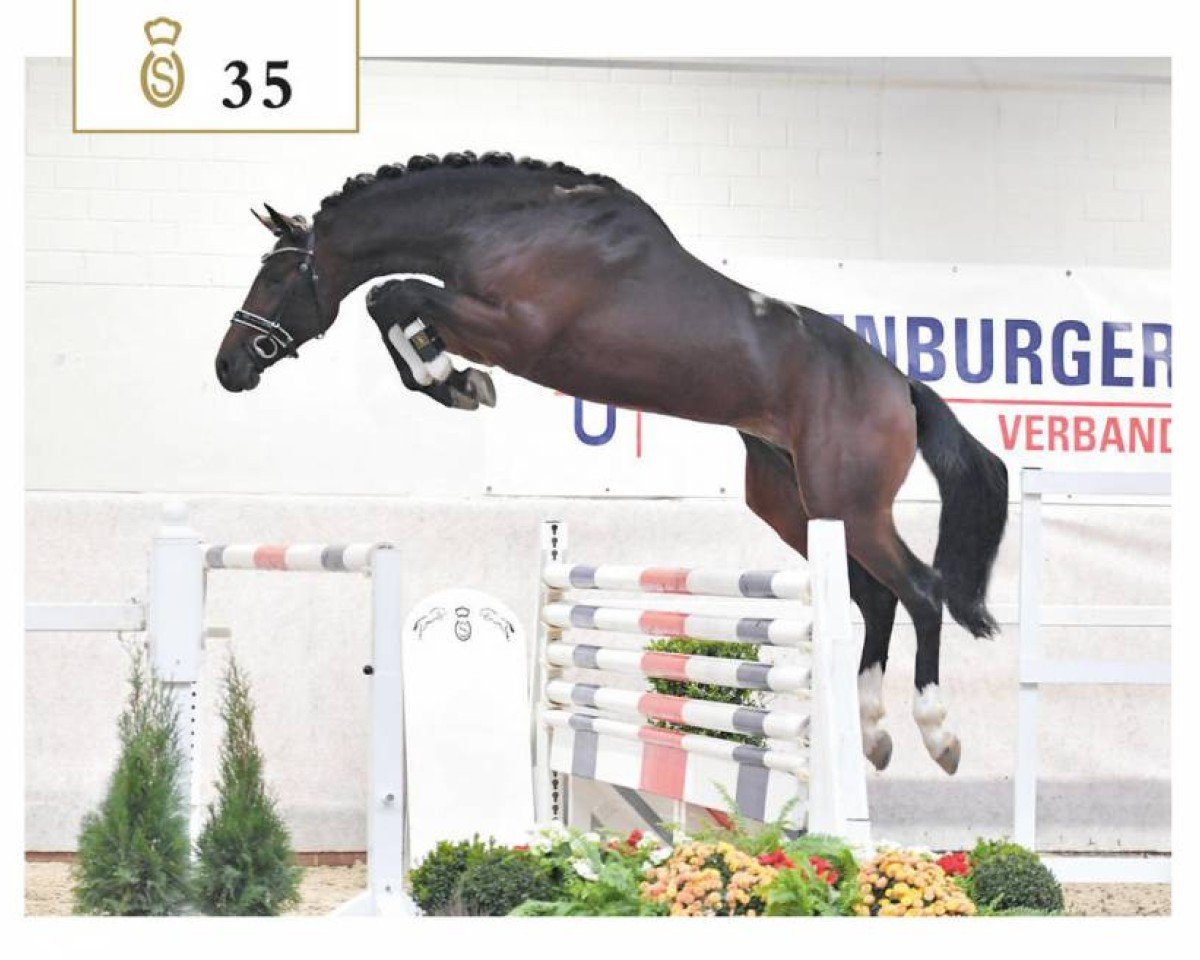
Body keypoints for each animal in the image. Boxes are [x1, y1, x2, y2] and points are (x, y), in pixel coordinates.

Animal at [215, 150, 1008, 775]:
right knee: (875, 598)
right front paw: (454, 381)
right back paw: (872, 733)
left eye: (275, 279)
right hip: (792, 501)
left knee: (922, 592)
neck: (506, 224)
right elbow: (397, 306)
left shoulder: (515, 330)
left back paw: (936, 735)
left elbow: (392, 294)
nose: (228, 367)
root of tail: (899, 384)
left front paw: (453, 380)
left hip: (850, 503)